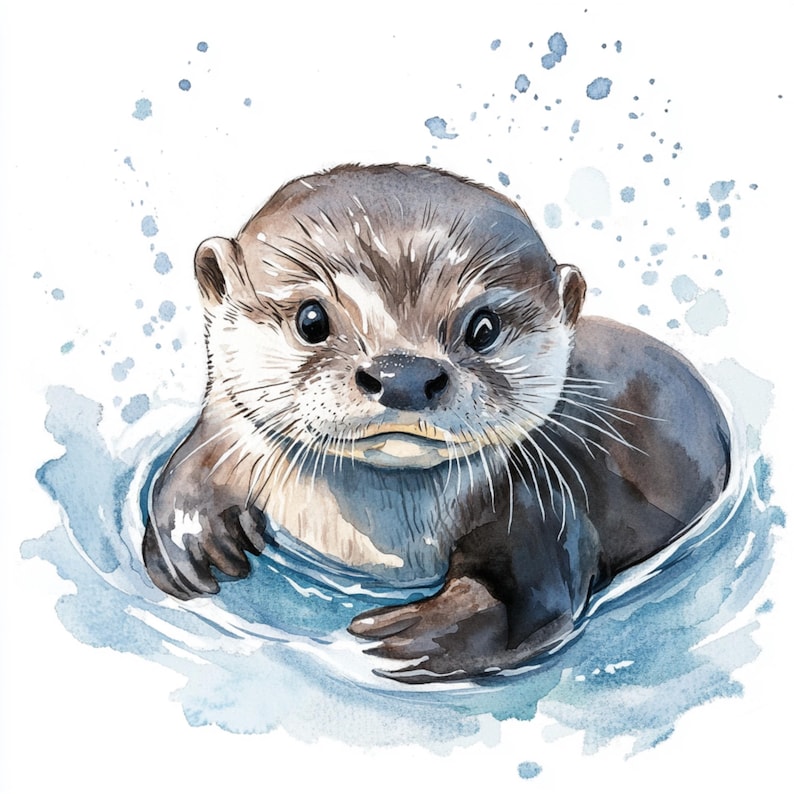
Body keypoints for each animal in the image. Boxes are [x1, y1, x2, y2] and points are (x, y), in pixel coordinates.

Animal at [143, 164, 730, 682]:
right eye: (312, 318)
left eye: (484, 327)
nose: (403, 373)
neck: (375, 542)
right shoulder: (228, 436)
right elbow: (183, 472)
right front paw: (195, 537)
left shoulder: (544, 502)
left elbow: (536, 600)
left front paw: (423, 632)